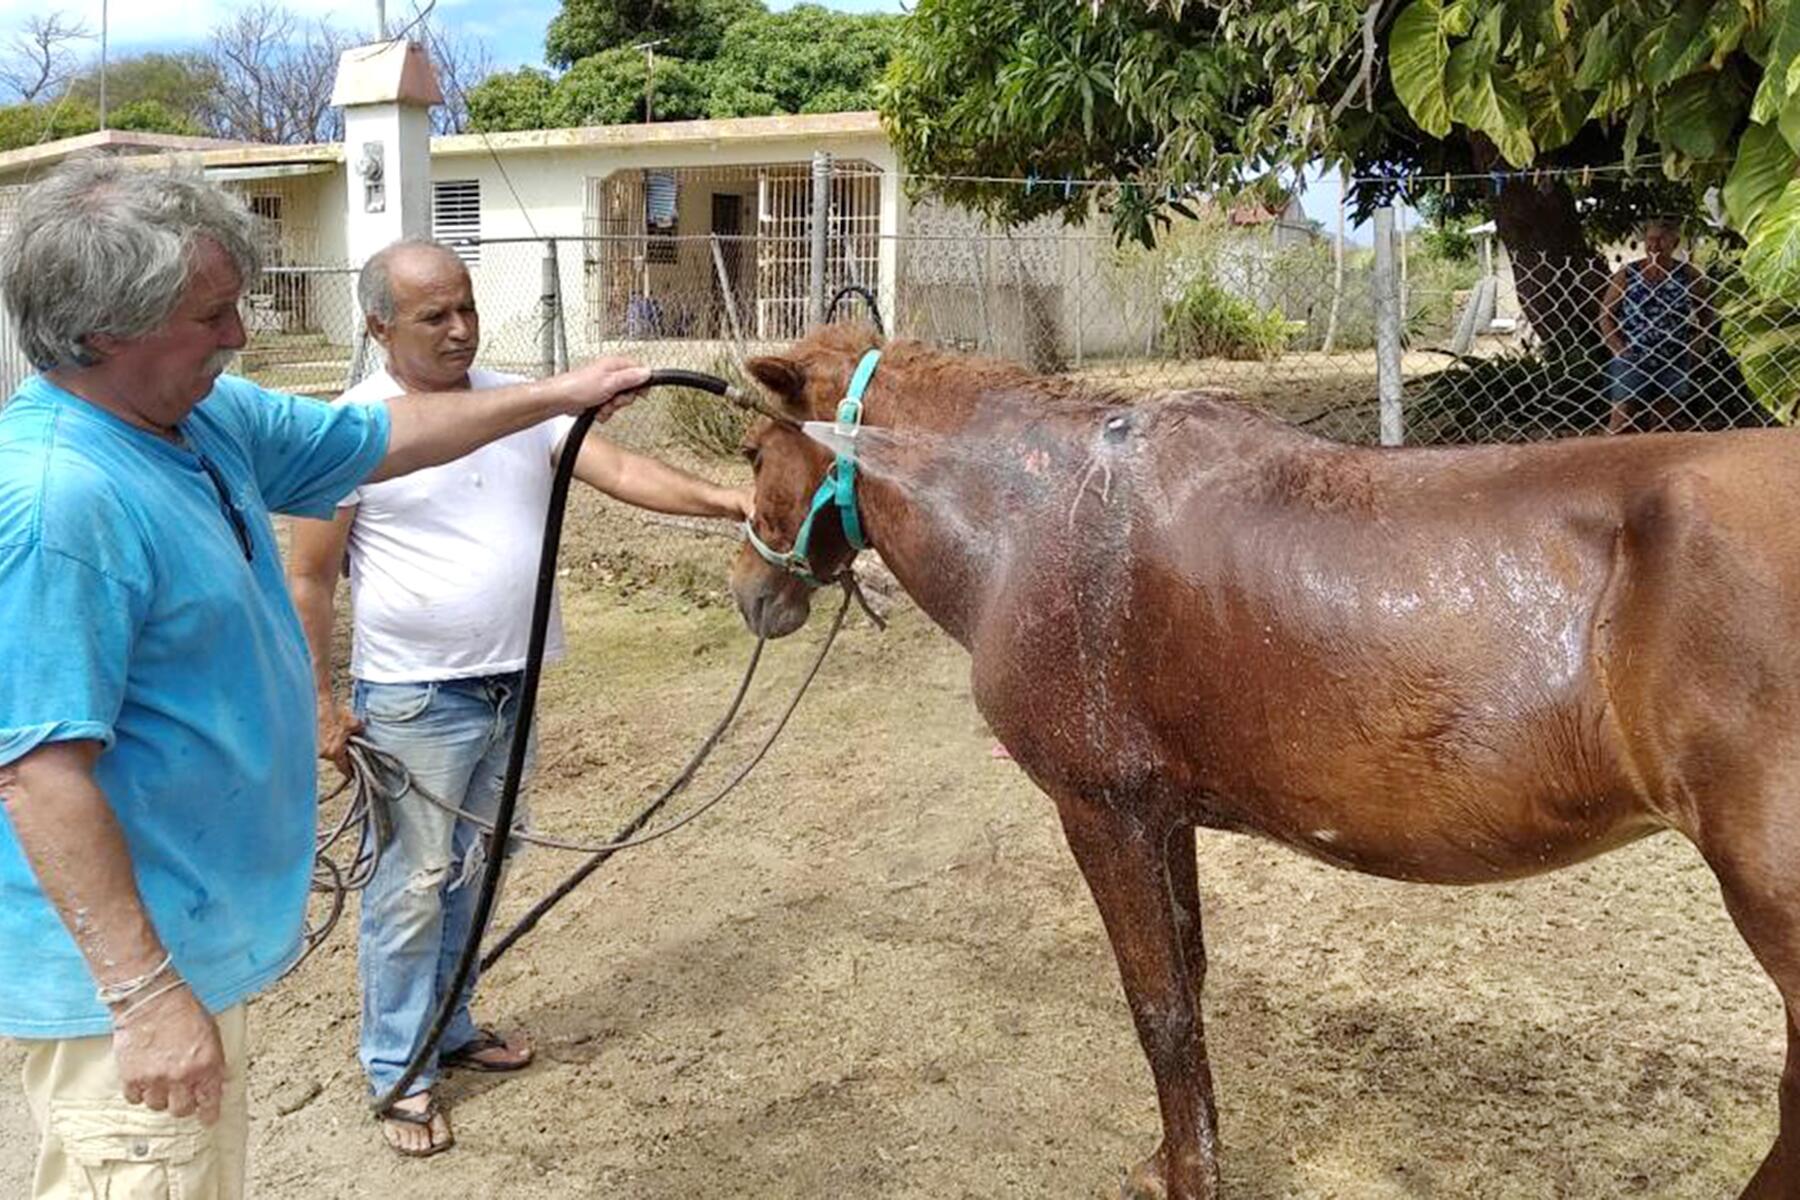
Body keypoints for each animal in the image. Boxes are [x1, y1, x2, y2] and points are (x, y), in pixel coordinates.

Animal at [725, 322, 1800, 1199]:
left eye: (751, 452)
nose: (750, 594)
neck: (1040, 510)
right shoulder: (1161, 815)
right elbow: (1190, 983)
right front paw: (1172, 1157)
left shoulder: (1100, 812)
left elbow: (1159, 1009)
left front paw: (1188, 1179)